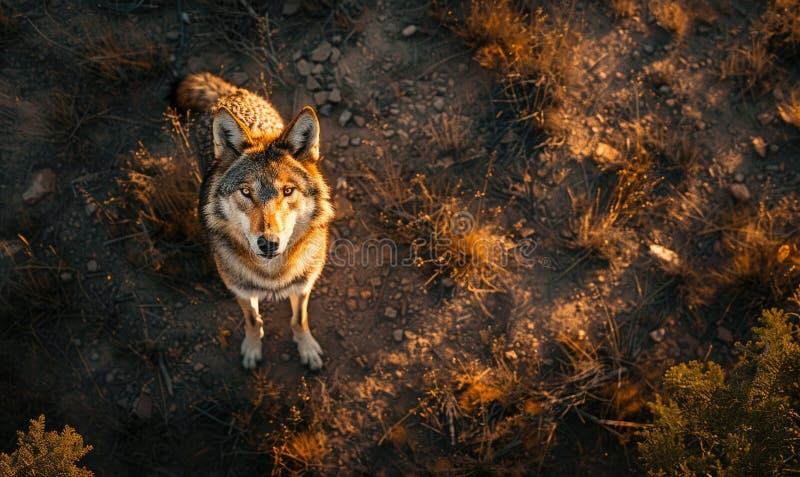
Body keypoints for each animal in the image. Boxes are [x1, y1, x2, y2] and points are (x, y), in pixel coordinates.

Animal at [175, 73, 334, 370]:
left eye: (288, 191)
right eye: (246, 192)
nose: (268, 244)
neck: (271, 275)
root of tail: (228, 95)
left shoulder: (304, 284)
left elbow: (299, 320)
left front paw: (307, 349)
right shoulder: (239, 288)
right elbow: (252, 320)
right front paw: (252, 348)